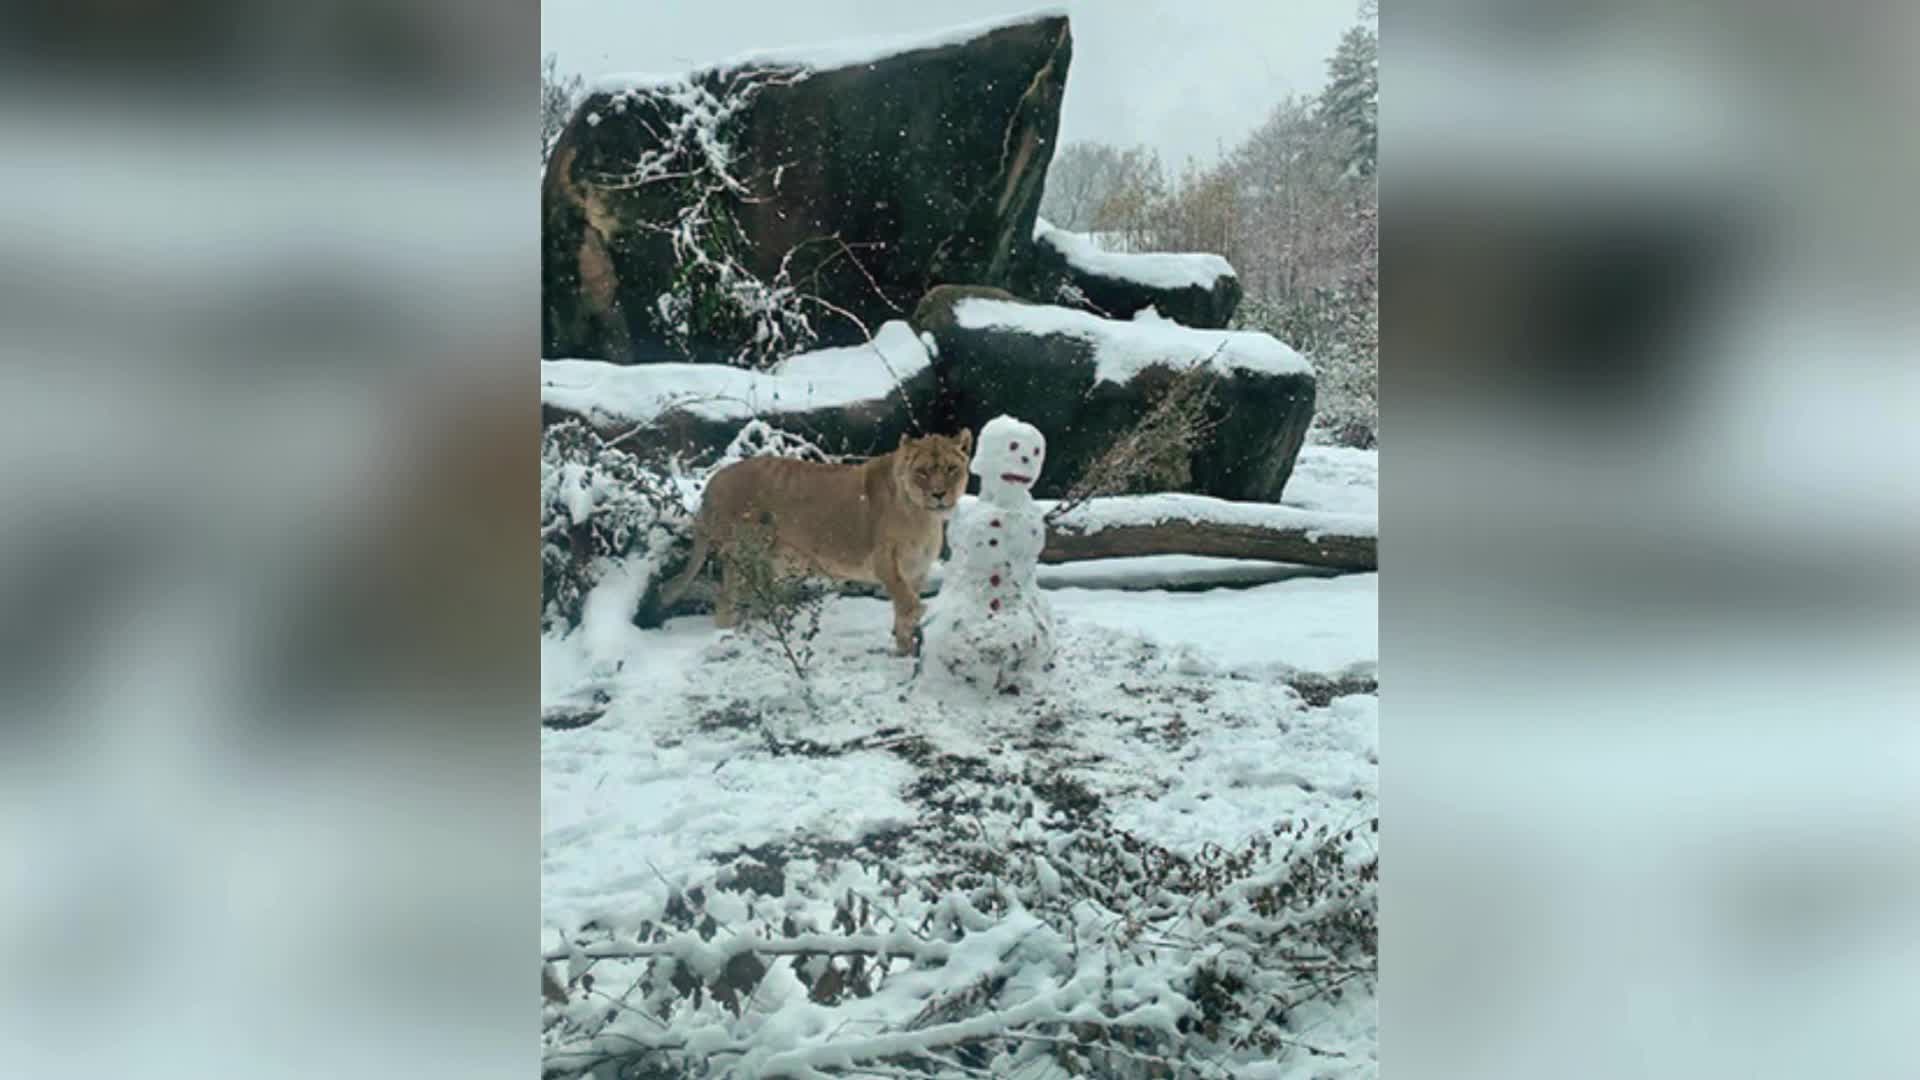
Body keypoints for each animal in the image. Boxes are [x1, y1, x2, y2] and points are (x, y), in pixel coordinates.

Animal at [658, 431, 974, 654]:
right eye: (922, 472)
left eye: (951, 469)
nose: (939, 494)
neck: (924, 515)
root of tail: (714, 479)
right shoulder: (884, 560)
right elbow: (906, 601)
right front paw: (914, 623)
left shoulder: (917, 570)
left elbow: (902, 607)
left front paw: (905, 648)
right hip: (743, 554)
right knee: (725, 600)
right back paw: (727, 636)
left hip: (764, 561)